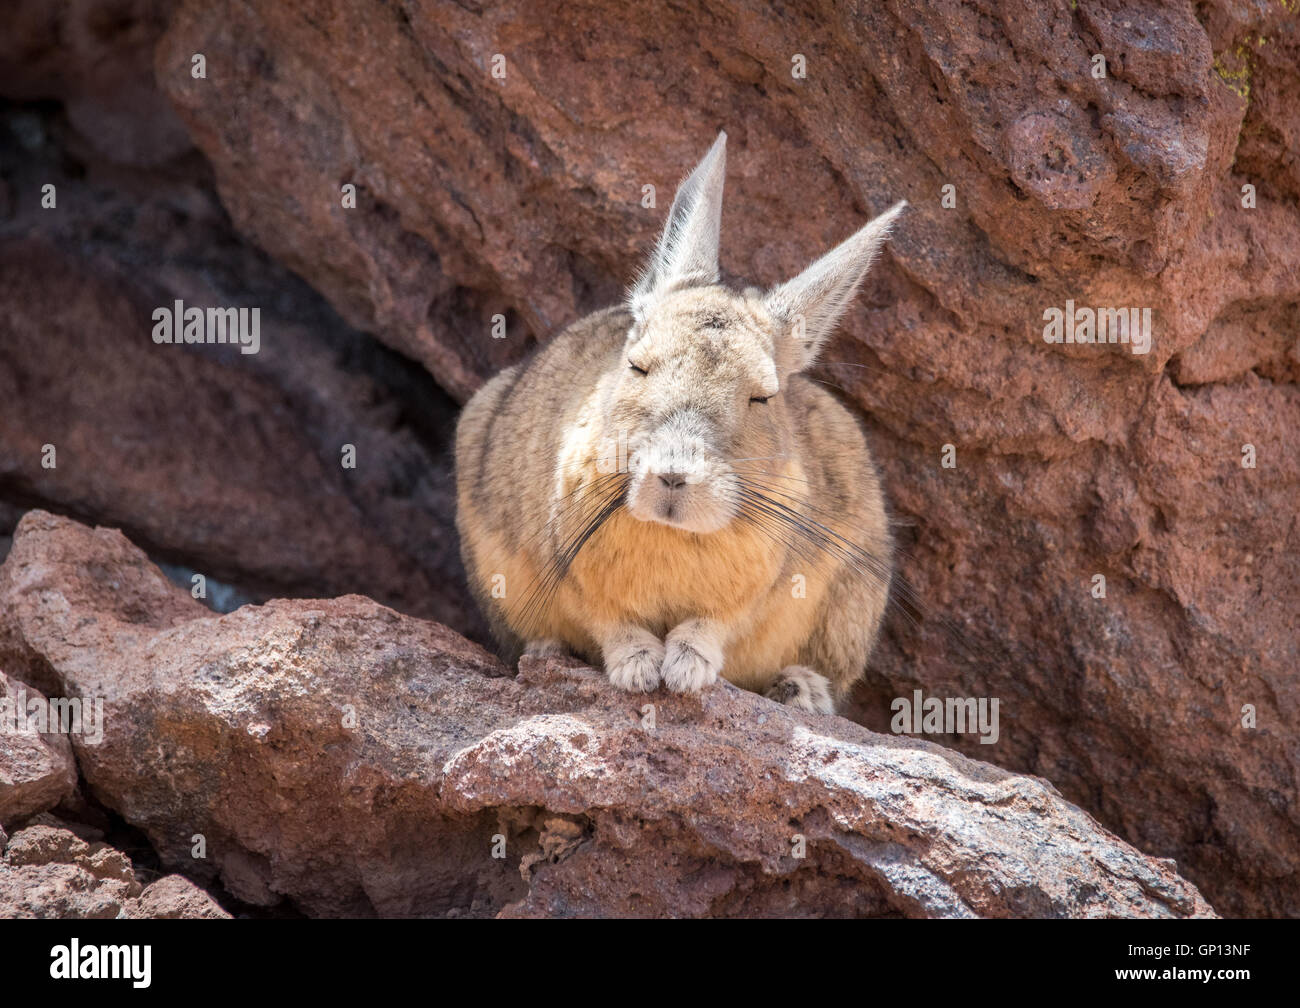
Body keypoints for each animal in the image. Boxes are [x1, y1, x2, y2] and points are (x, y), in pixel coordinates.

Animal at [455, 131, 904, 714]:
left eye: (763, 397)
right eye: (637, 365)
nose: (673, 475)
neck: (673, 532)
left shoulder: (756, 591)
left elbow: (713, 626)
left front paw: (685, 673)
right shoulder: (570, 570)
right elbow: (611, 622)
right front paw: (641, 673)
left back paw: (799, 692)